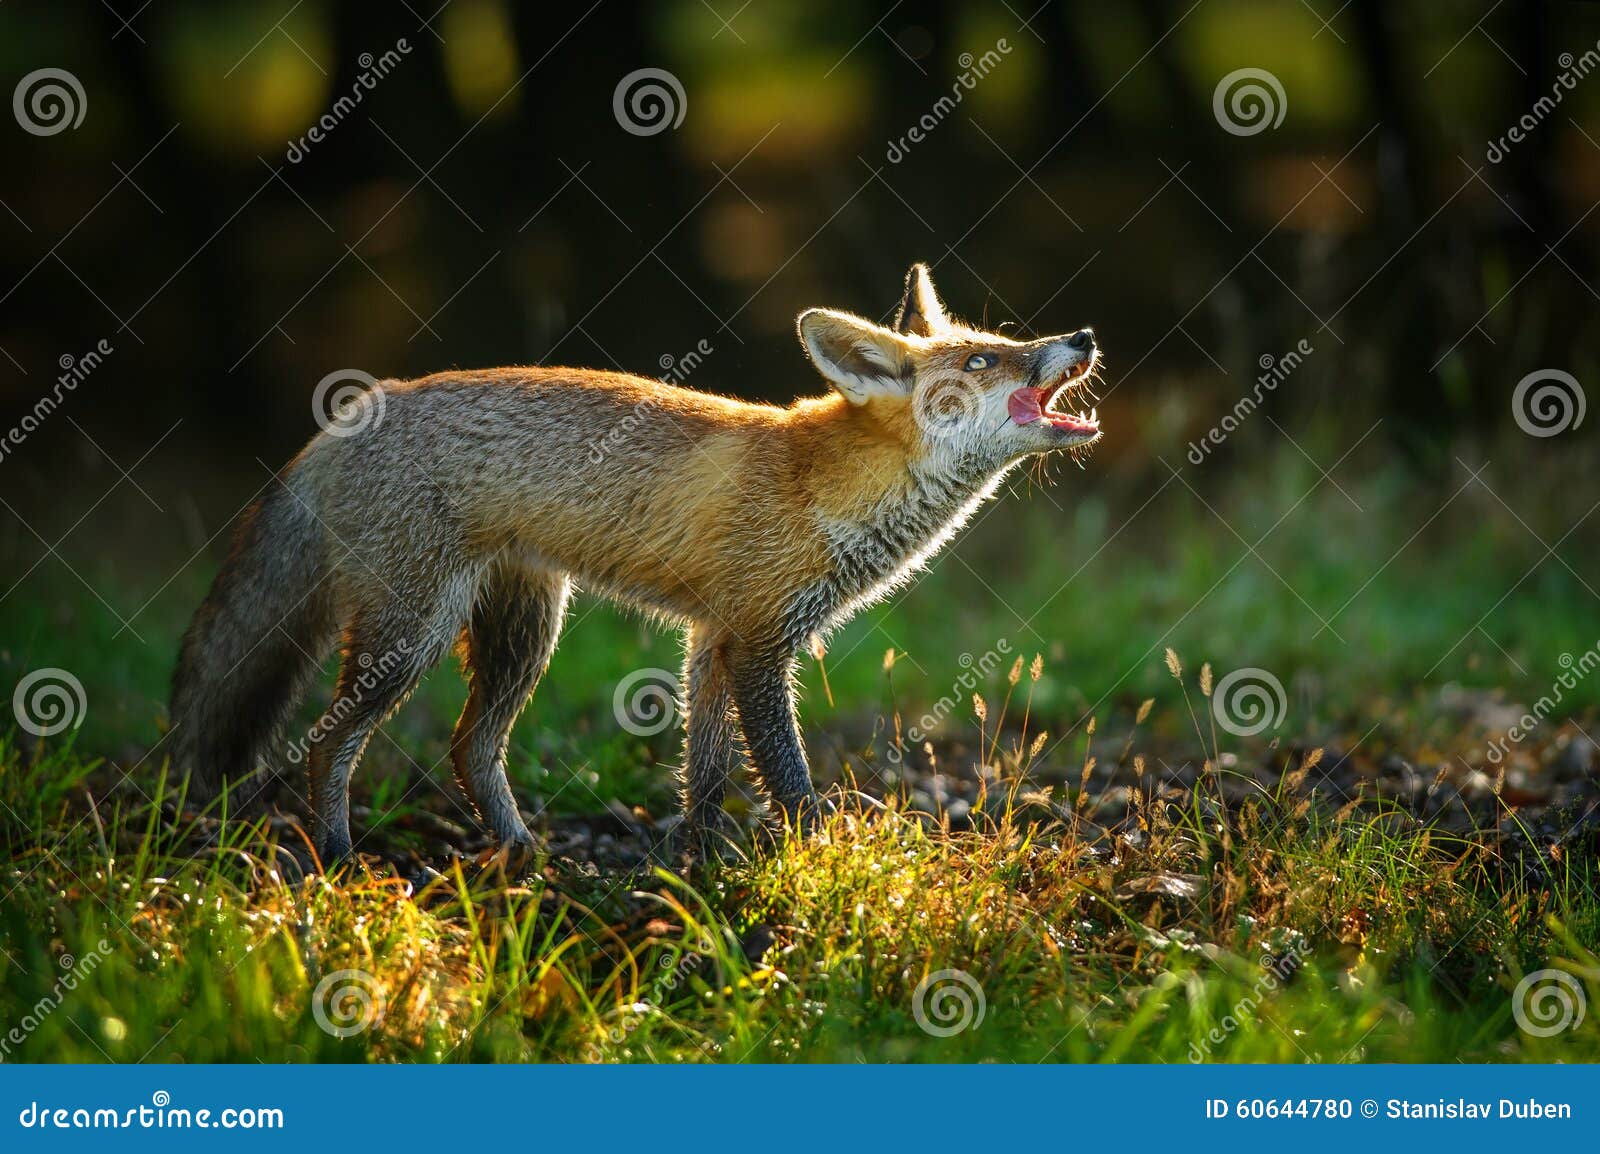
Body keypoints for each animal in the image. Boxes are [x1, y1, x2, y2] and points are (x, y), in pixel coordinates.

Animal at [168, 263, 1101, 866]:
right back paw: (335, 857)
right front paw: (825, 863)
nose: (1084, 334)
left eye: (1002, 342)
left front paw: (700, 871)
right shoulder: (758, 642)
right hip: (414, 634)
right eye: (982, 359)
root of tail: (351, 413)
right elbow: (788, 777)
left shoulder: (711, 641)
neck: (822, 484)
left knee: (469, 748)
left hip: (524, 632)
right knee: (328, 746)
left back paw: (522, 857)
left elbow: (705, 775)